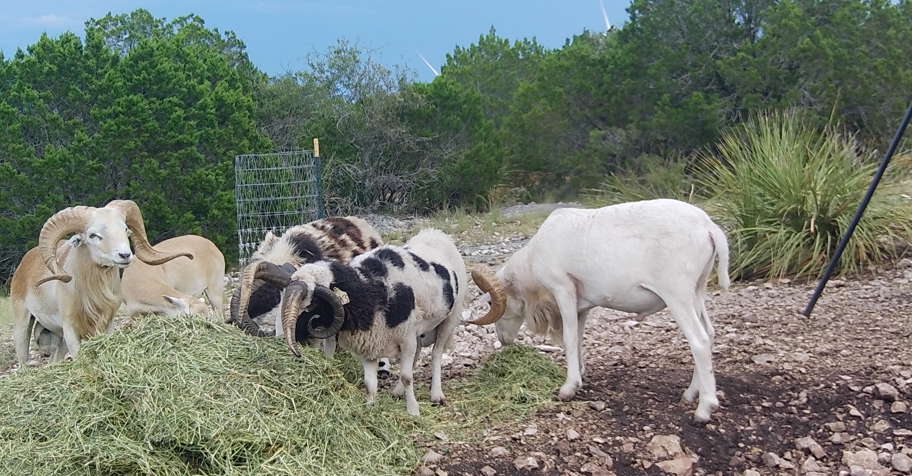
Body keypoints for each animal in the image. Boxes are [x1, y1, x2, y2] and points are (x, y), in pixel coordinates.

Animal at [9, 200, 193, 364]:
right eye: (93, 235)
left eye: (125, 229)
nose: (125, 255)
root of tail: (24, 264)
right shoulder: (70, 329)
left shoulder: (107, 323)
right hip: (23, 325)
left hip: (58, 339)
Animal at [278, 228, 471, 416]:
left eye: (312, 304)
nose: (288, 338)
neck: (372, 292)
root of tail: (435, 233)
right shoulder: (370, 346)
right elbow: (369, 383)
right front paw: (370, 408)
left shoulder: (406, 338)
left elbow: (407, 377)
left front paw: (413, 411)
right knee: (417, 354)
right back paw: (398, 391)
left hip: (450, 317)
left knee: (436, 353)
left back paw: (436, 394)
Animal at [466, 199, 730, 422]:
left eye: (490, 303)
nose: (503, 340)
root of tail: (708, 228)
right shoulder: (582, 306)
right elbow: (579, 339)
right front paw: (580, 376)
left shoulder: (563, 291)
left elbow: (569, 339)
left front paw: (568, 389)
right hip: (697, 292)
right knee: (710, 334)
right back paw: (690, 394)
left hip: (678, 295)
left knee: (699, 341)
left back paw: (704, 409)